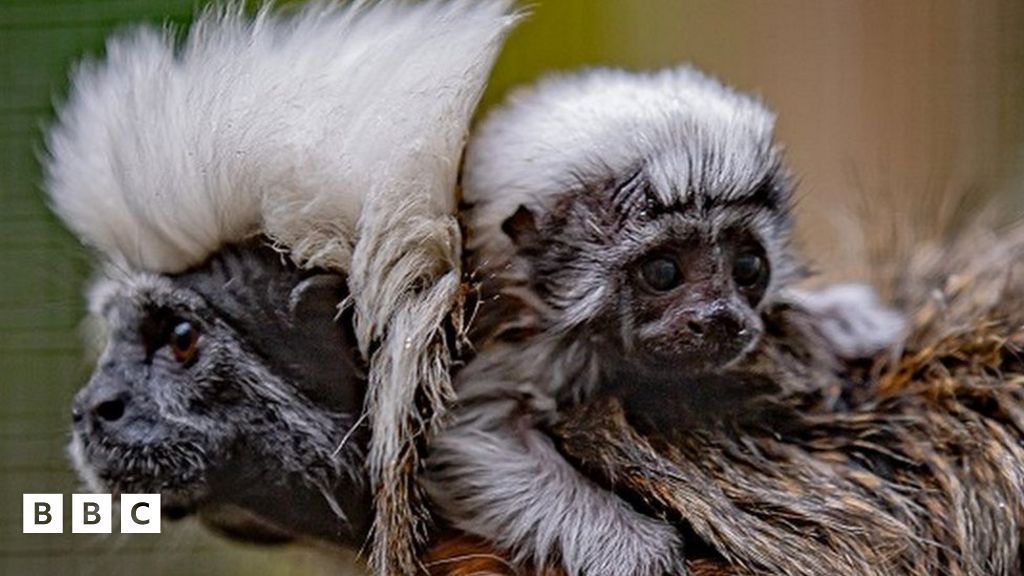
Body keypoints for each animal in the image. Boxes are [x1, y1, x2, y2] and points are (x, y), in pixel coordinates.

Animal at [424, 66, 905, 575]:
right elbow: (466, 439)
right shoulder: (534, 346)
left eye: (748, 267)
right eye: (662, 273)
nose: (718, 318)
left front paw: (840, 319)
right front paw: (629, 547)